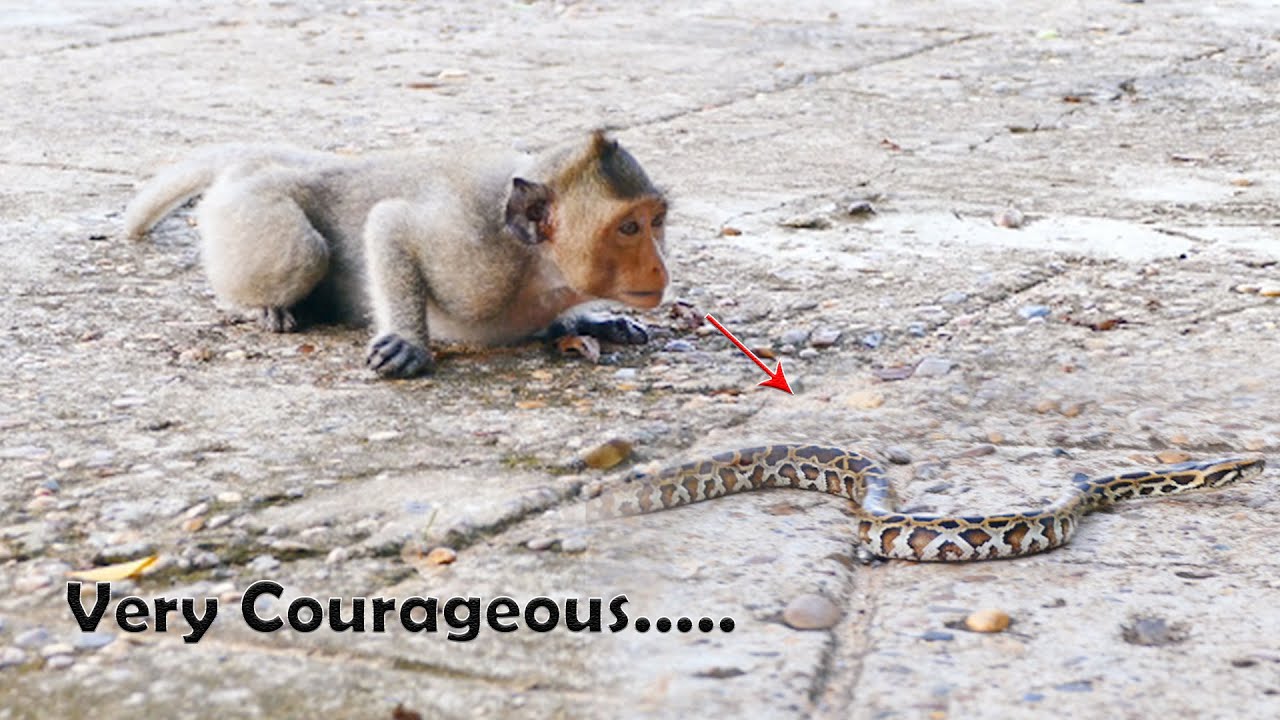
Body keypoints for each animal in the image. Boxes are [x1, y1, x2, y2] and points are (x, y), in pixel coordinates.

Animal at [122, 131, 669, 378]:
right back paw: (265, 304)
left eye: (656, 221)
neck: (541, 269)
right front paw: (409, 343)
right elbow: (390, 223)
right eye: (628, 228)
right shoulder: (478, 265)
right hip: (244, 203)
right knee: (303, 253)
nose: (660, 266)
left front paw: (591, 321)